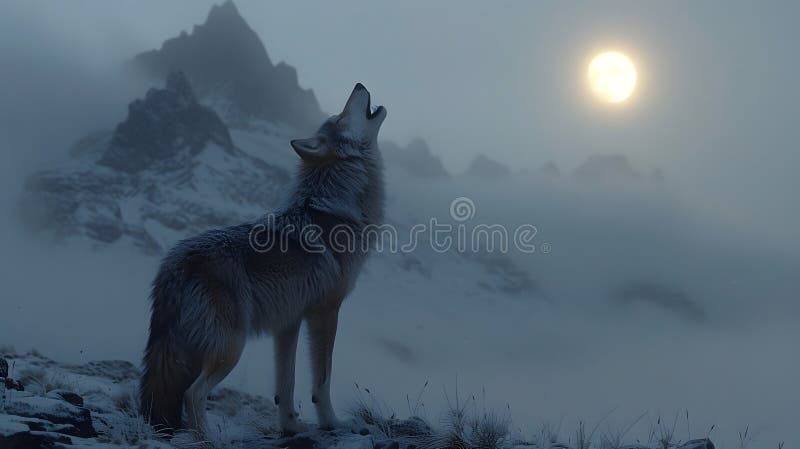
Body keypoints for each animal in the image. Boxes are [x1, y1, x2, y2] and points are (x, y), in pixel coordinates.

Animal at [139, 83, 386, 436]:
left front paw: (291, 428)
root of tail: (176, 263)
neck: (338, 207)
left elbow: (285, 384)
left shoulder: (288, 322)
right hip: (231, 348)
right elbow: (322, 381)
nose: (359, 84)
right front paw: (332, 424)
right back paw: (210, 439)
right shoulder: (326, 310)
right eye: (339, 116)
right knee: (192, 394)